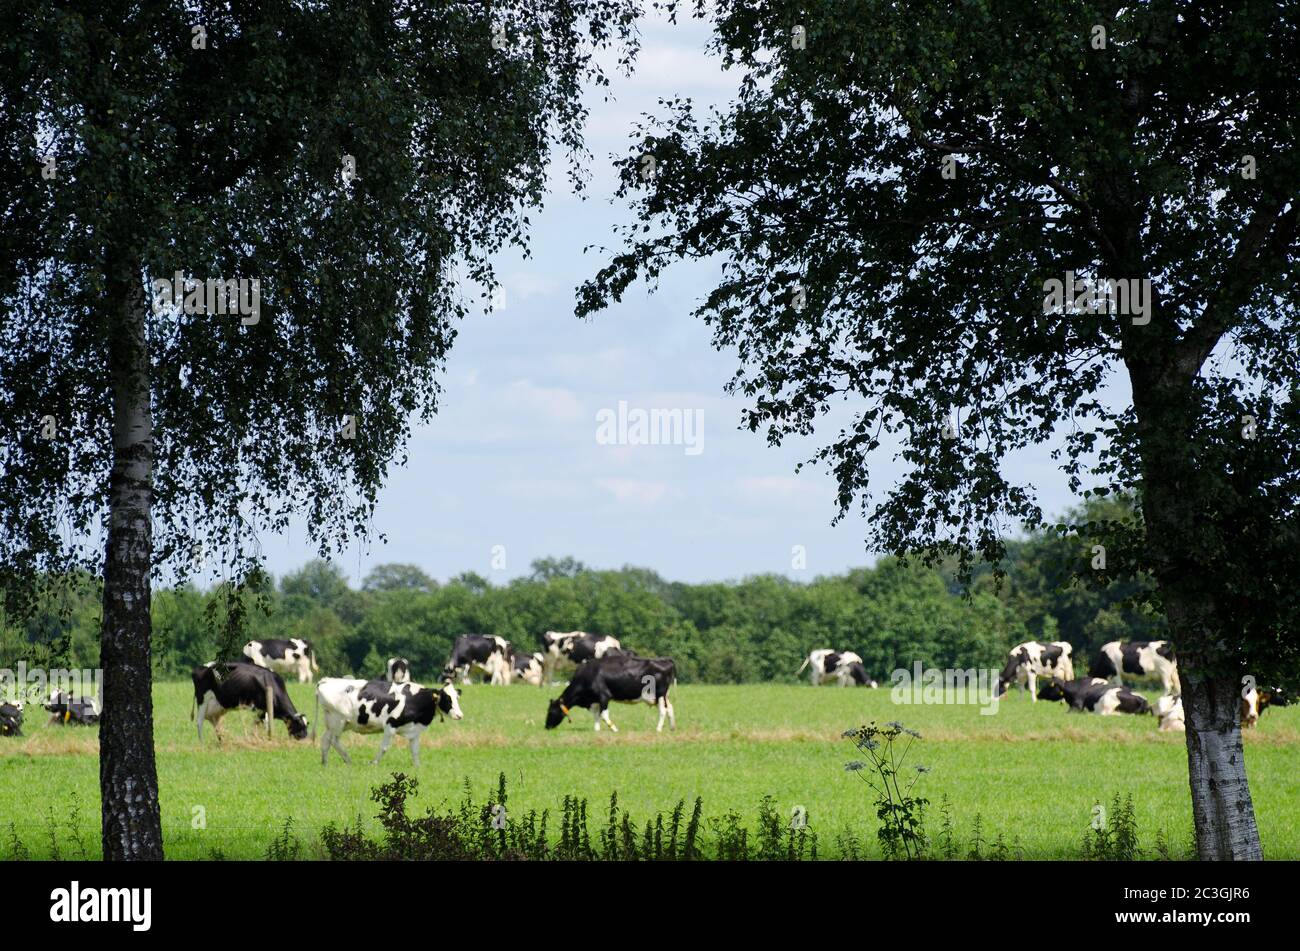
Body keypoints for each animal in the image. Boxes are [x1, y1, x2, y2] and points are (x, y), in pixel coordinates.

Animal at [314, 676, 463, 766]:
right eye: (447, 698)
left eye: (457, 697)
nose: (460, 715)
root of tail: (325, 680)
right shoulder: (390, 725)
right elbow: (384, 747)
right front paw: (374, 763)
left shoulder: (414, 730)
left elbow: (415, 750)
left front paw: (417, 767)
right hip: (338, 721)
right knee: (334, 740)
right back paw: (348, 760)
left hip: (336, 723)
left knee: (325, 739)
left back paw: (325, 763)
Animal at [545, 653, 676, 732]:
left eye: (551, 711)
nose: (546, 726)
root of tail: (665, 660)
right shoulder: (594, 700)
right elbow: (596, 715)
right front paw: (596, 729)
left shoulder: (604, 696)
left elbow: (603, 715)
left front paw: (614, 728)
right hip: (664, 696)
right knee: (670, 708)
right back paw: (672, 728)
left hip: (660, 694)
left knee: (663, 711)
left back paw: (658, 729)